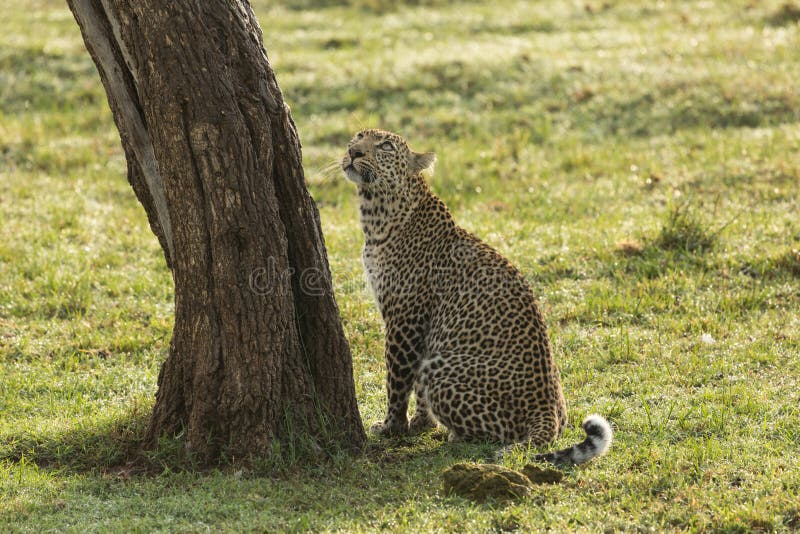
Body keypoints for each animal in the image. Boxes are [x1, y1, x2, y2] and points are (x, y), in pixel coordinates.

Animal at [341, 129, 612, 465]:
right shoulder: (422, 327)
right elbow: (415, 386)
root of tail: (548, 412)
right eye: (357, 136)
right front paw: (420, 424)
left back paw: (456, 437)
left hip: (441, 369)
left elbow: (398, 378)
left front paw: (392, 427)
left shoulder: (405, 317)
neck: (377, 211)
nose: (354, 152)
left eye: (386, 146)